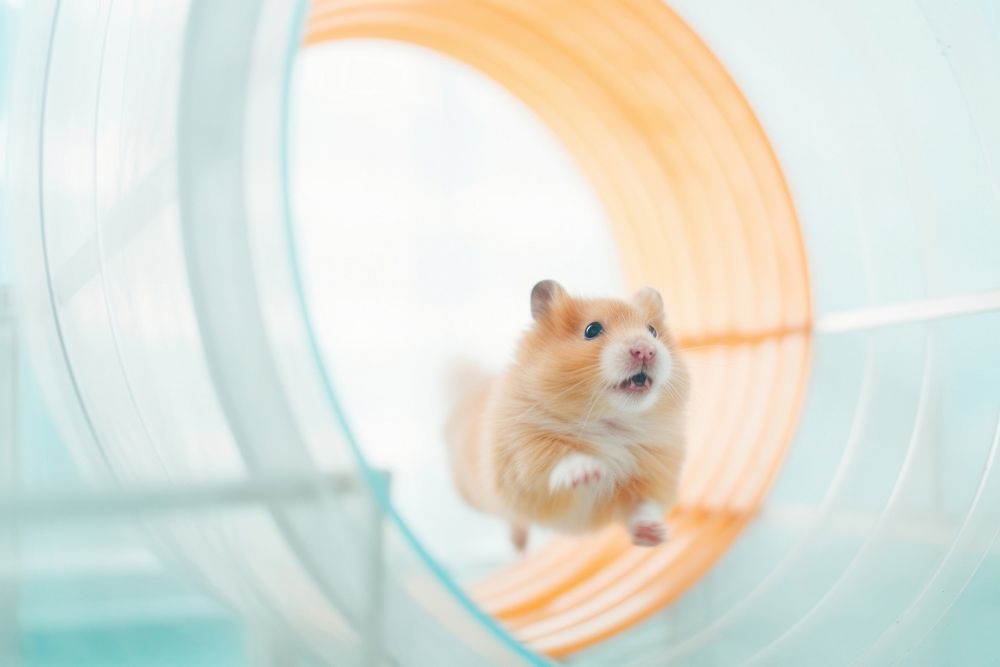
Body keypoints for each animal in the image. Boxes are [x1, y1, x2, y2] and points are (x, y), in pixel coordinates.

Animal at [445, 280, 689, 550]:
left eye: (653, 331)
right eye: (592, 330)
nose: (646, 351)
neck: (609, 420)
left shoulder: (654, 474)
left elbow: (642, 506)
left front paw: (654, 535)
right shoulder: (519, 450)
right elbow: (558, 458)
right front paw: (591, 472)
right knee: (512, 520)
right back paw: (518, 547)